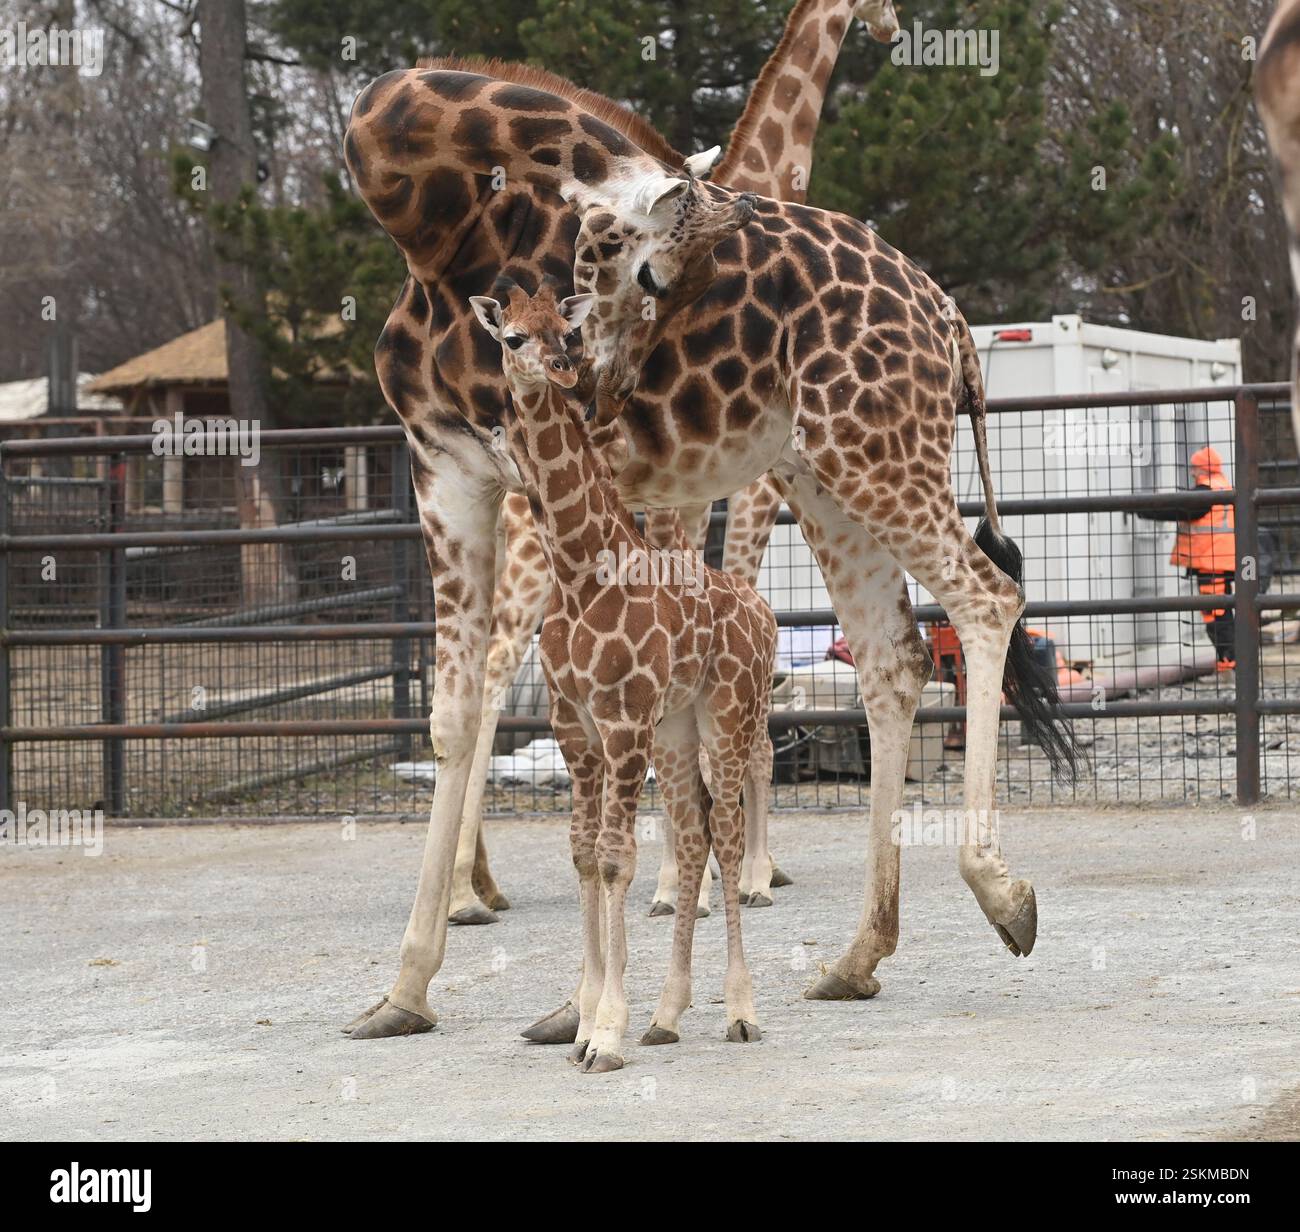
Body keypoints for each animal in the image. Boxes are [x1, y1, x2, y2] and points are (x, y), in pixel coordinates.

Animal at [446, 0, 902, 928]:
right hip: (530, 568)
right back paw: (470, 896)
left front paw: (725, 870)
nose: (893, 28)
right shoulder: (742, 497)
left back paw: (482, 885)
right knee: (495, 679)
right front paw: (735, 874)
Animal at [469, 273, 775, 1070]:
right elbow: (582, 856)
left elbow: (614, 860)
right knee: (695, 835)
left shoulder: (622, 721)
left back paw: (741, 1010)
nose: (559, 369)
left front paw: (604, 1032)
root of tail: (763, 609)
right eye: (514, 335)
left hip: (728, 715)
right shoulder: (576, 726)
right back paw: (667, 1015)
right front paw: (584, 1020)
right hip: (677, 728)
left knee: (728, 833)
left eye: (567, 332)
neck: (580, 574)